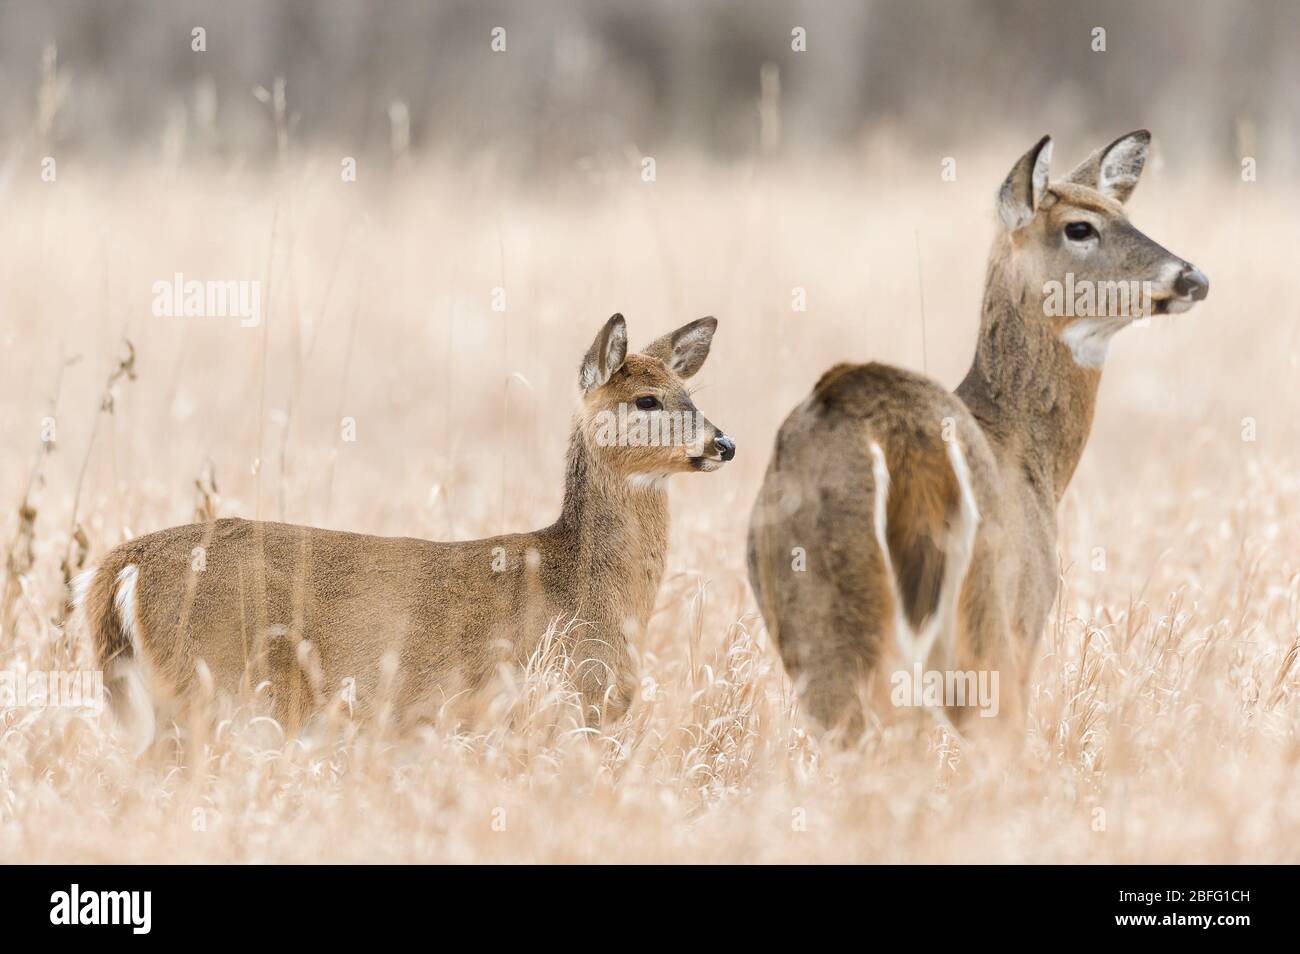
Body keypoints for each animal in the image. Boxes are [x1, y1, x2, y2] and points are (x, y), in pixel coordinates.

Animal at [75, 313, 736, 755]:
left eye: (688, 394)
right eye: (646, 400)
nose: (723, 444)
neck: (582, 585)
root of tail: (124, 562)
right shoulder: (548, 704)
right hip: (216, 684)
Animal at [746, 131, 1209, 737]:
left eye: (1126, 214)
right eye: (1080, 227)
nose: (1193, 277)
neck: (1027, 452)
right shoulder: (1029, 610)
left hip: (815, 619)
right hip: (980, 623)